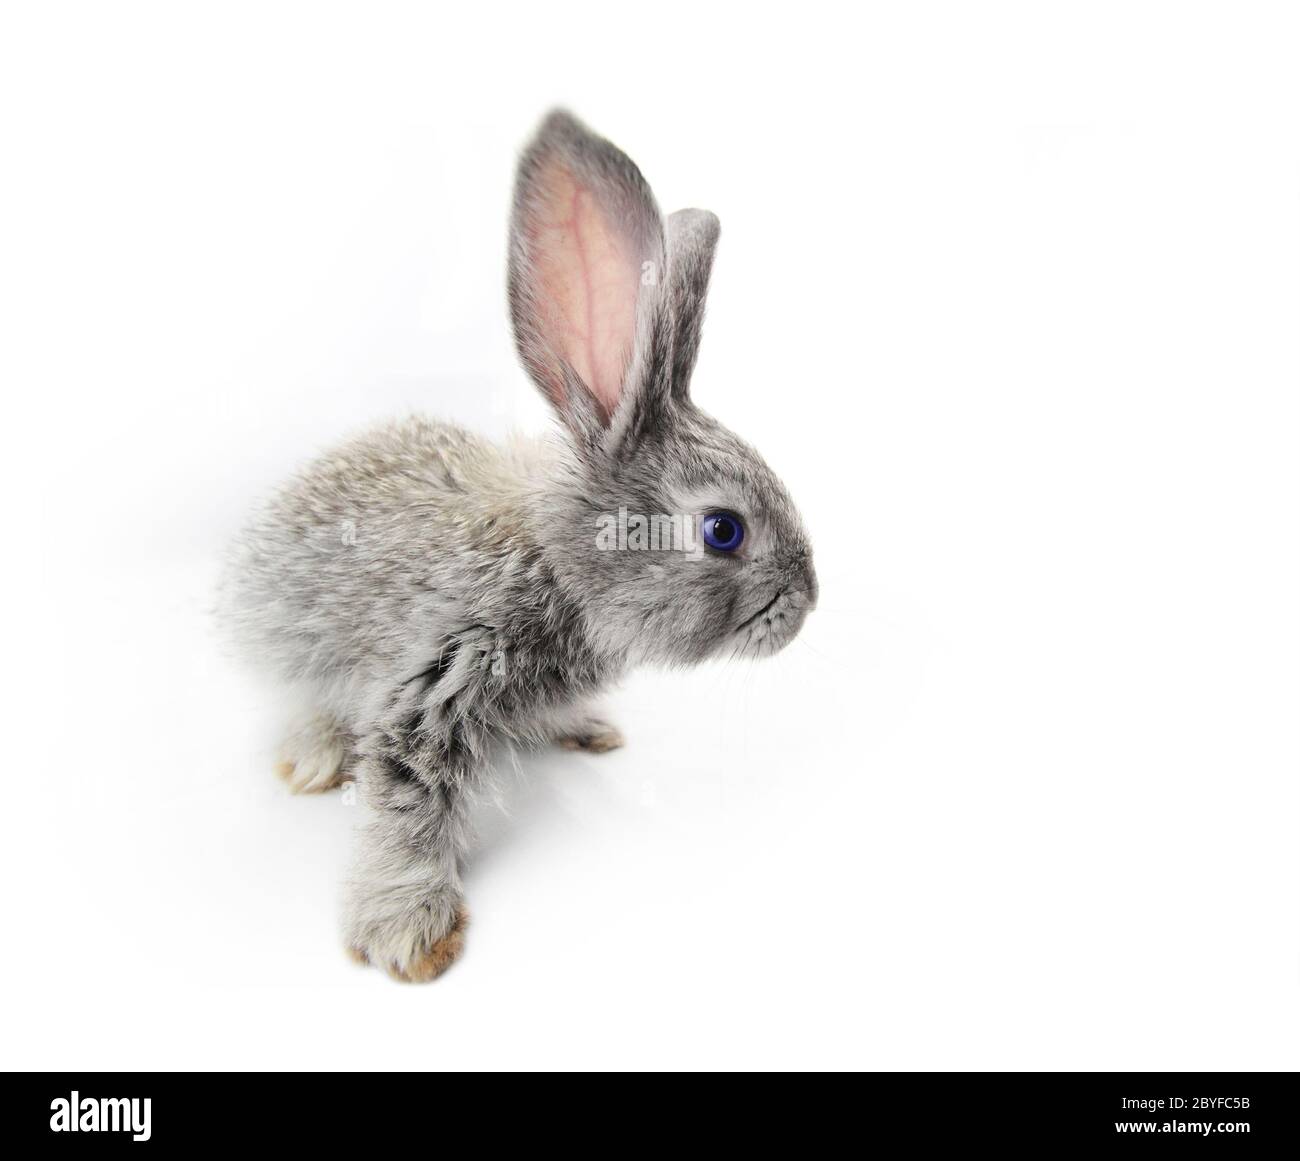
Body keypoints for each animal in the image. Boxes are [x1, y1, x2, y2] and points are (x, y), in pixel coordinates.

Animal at [221, 110, 818, 981]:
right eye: (723, 530)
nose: (809, 603)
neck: (560, 569)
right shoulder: (438, 675)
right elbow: (406, 804)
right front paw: (409, 931)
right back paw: (314, 756)